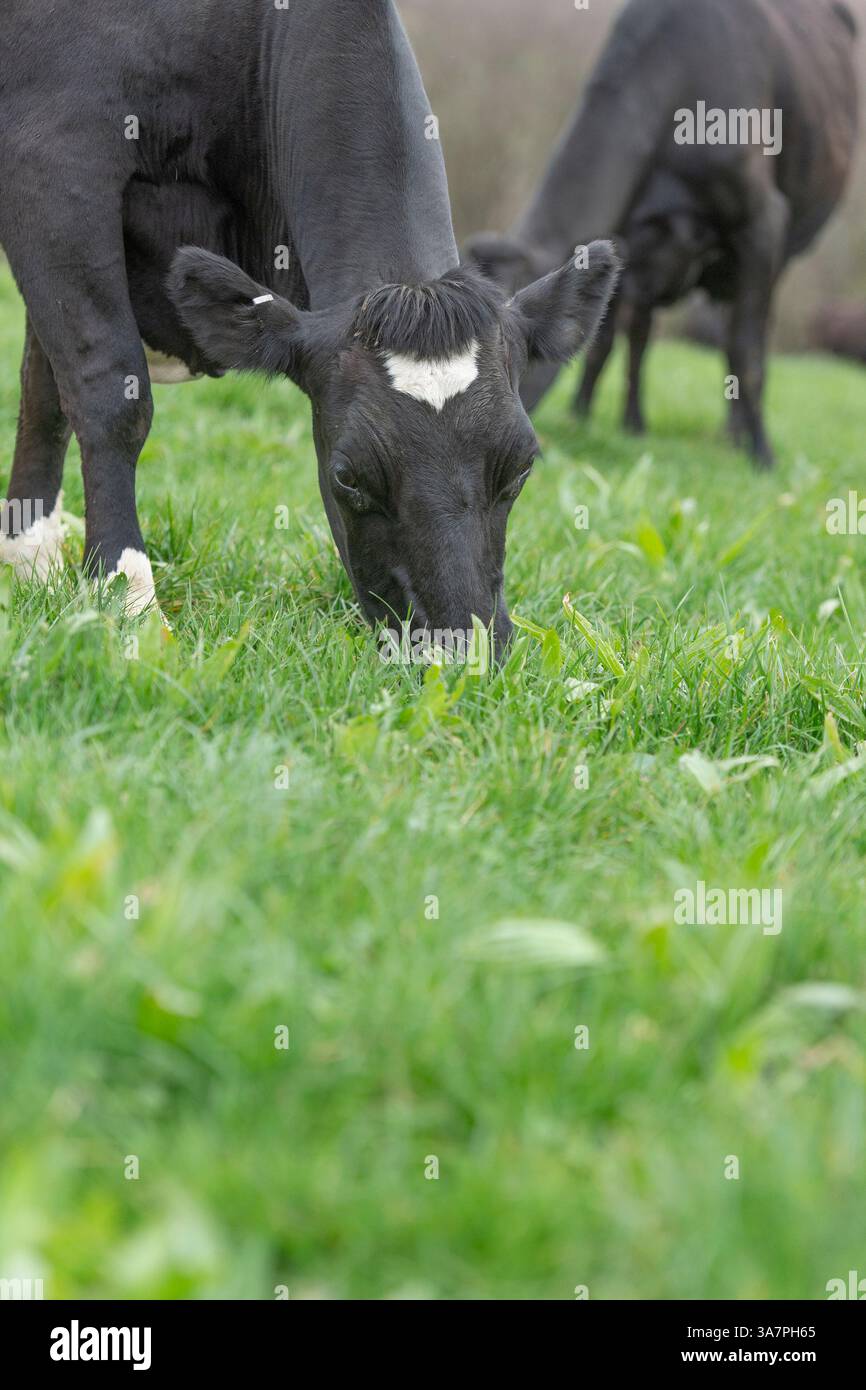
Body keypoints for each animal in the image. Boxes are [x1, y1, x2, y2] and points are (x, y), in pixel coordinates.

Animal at [0, 0, 620, 653]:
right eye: (347, 477)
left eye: (523, 466)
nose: (460, 647)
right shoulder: (52, 160)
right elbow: (107, 393)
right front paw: (125, 602)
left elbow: (45, 388)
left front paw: (30, 559)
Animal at [466, 0, 860, 469]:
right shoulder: (622, 245)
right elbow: (605, 342)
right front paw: (585, 418)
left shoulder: (762, 223)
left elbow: (746, 351)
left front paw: (763, 455)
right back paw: (637, 422)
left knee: (748, 335)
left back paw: (736, 435)